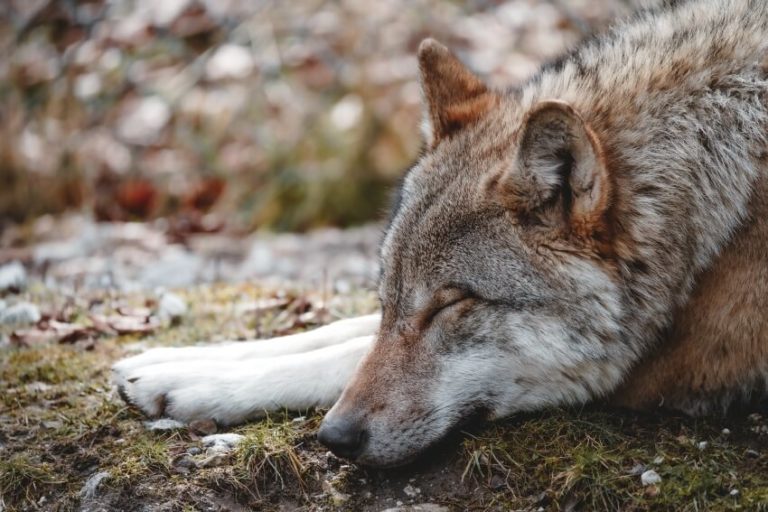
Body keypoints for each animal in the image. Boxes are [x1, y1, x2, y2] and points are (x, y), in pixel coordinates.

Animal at [113, 0, 768, 467]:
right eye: (389, 294)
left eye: (453, 303)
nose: (335, 438)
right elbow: (343, 331)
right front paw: (174, 365)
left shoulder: (664, 365)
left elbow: (342, 354)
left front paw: (205, 380)